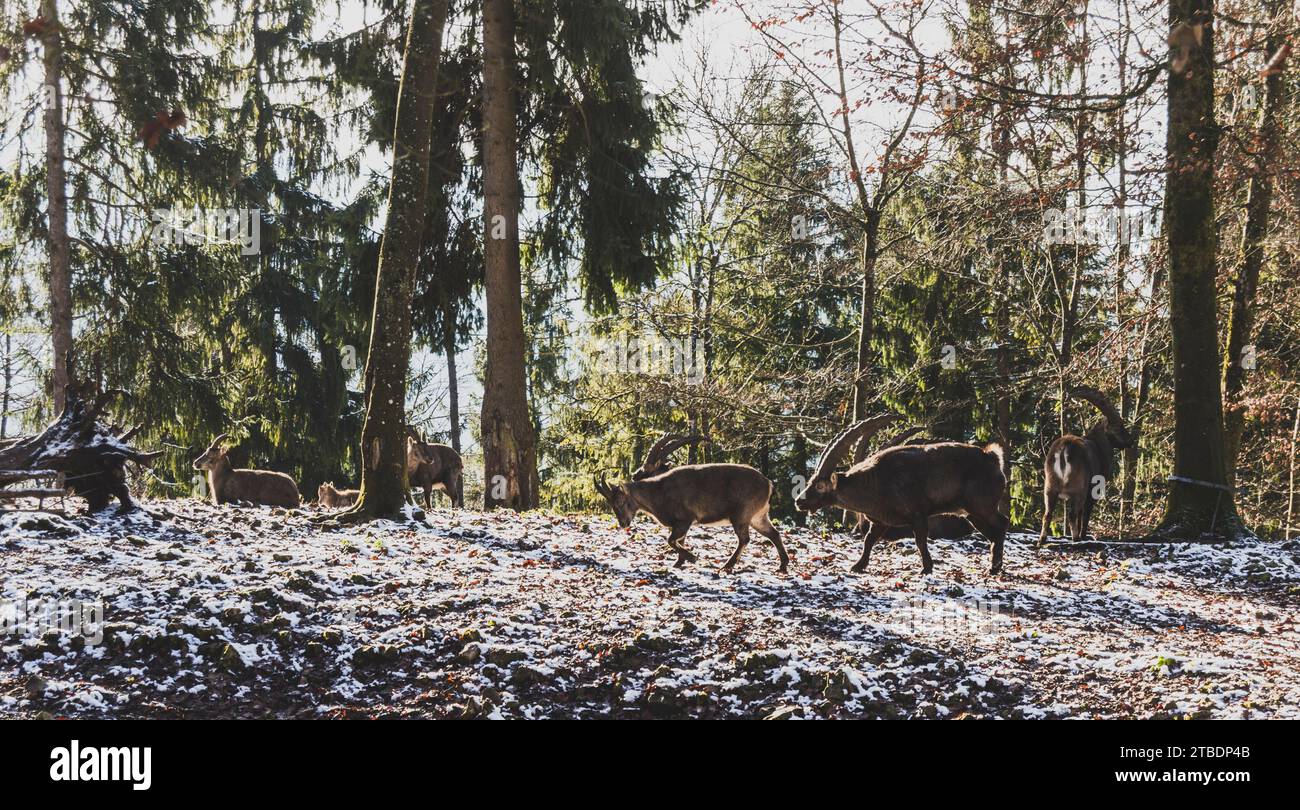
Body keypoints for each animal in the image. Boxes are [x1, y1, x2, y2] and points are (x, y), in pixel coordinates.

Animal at [593, 432, 788, 573]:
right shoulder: (681, 524)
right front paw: (678, 563)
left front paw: (692, 558)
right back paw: (783, 565)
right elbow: (680, 540)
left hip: (741, 515)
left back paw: (727, 565)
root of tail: (768, 484)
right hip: (758, 517)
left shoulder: (685, 519)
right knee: (774, 534)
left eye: (620, 500)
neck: (658, 491)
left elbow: (671, 540)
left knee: (745, 539)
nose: (623, 523)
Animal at [795, 414, 1009, 575]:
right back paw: (995, 564)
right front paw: (858, 566)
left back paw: (994, 567)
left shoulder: (917, 515)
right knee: (992, 532)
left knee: (1002, 522)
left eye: (820, 486)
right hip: (971, 513)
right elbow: (869, 540)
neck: (875, 484)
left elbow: (920, 540)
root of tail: (992, 458)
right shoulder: (881, 522)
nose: (799, 501)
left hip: (982, 505)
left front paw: (926, 569)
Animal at [1039, 386, 1137, 543]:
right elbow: (1085, 513)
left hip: (1049, 487)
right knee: (1072, 513)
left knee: (1047, 513)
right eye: (1119, 427)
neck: (1098, 445)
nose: (1130, 441)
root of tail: (1065, 449)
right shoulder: (1093, 490)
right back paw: (1076, 538)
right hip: (1078, 488)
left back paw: (1042, 540)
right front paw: (1084, 535)